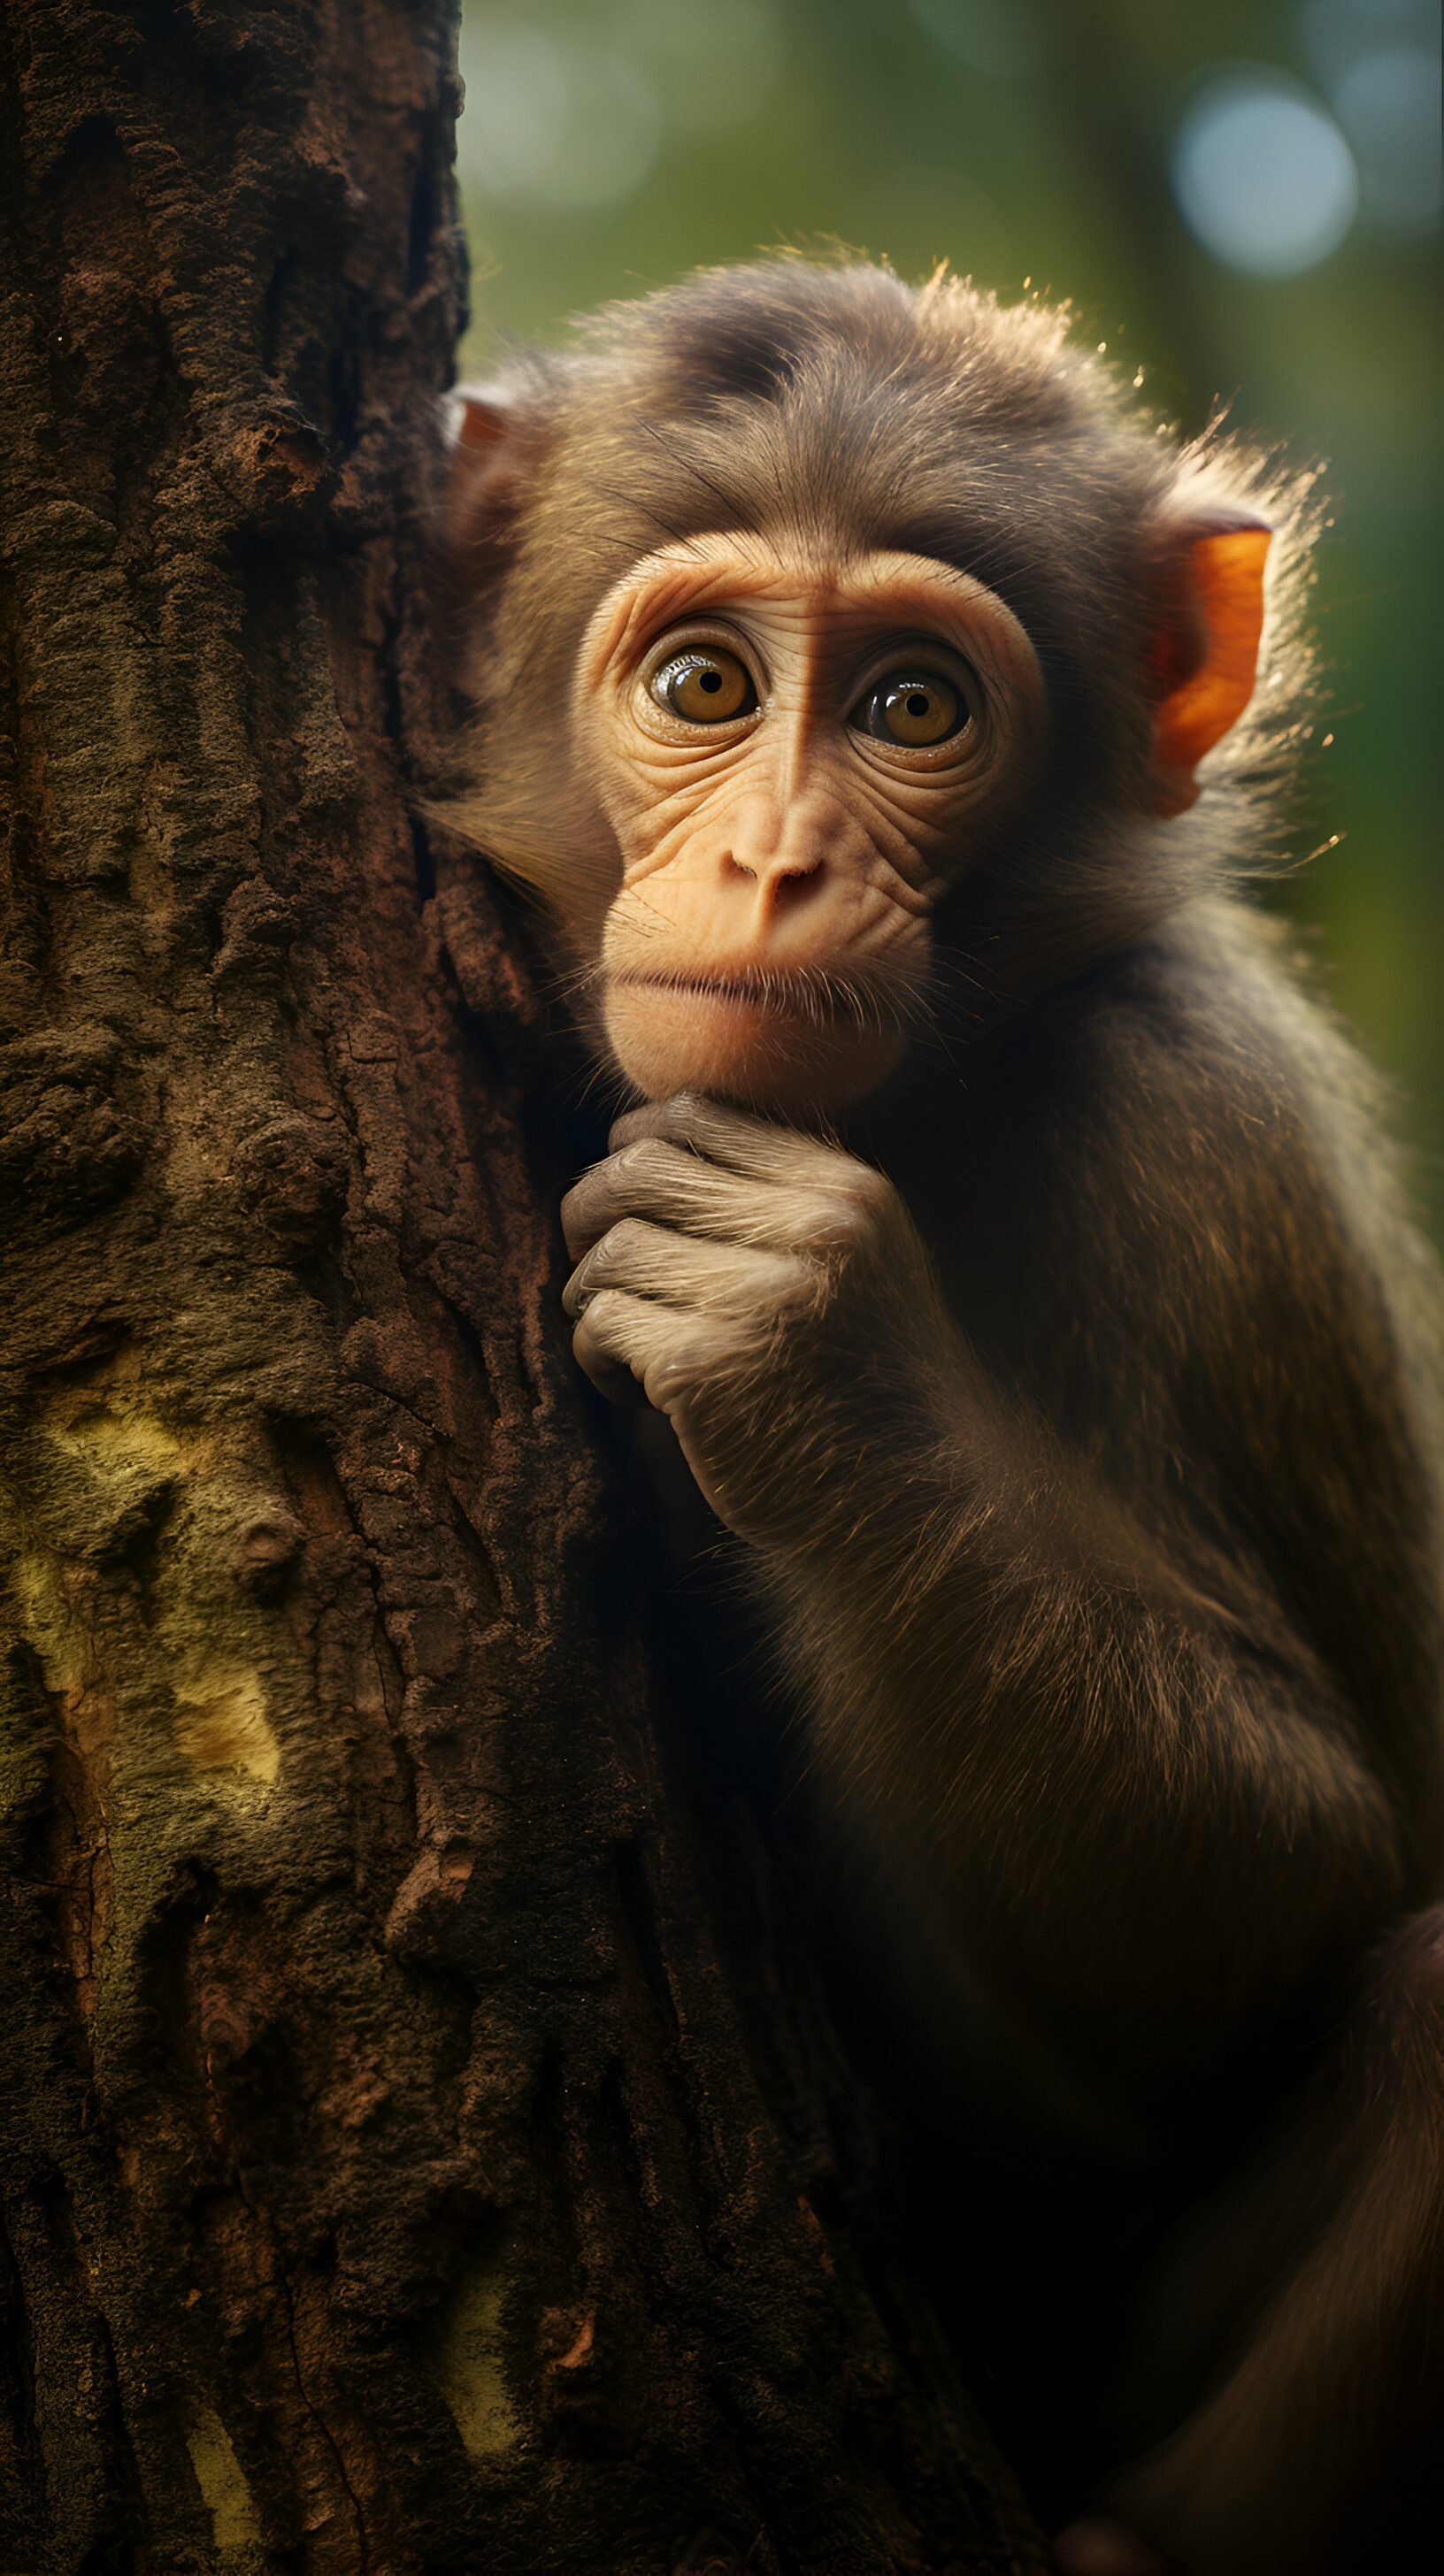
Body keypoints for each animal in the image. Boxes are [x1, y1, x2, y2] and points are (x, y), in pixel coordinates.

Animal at [439, 260, 1444, 2573]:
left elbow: (1305, 1878)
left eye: (913, 710)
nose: (777, 862)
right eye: (705, 684)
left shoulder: (1184, 1132)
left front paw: (810, 1349)